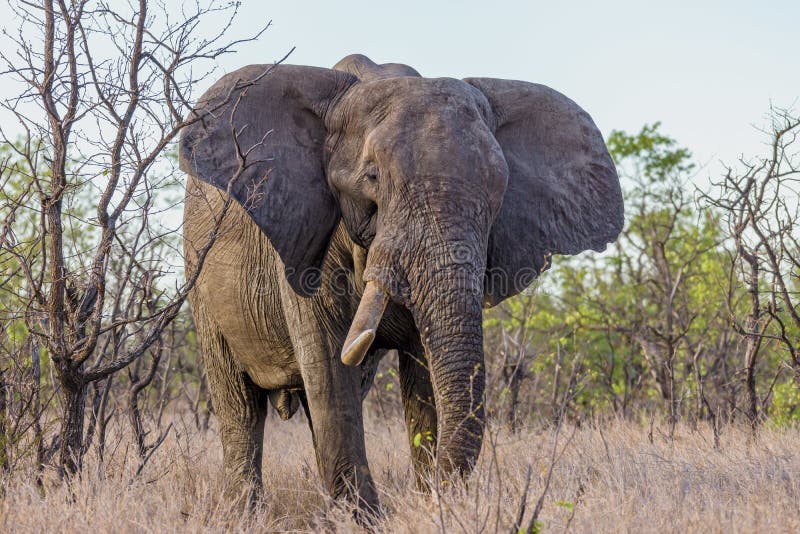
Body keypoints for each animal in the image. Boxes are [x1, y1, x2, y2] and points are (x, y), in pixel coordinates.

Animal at [179, 53, 623, 518]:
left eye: (499, 191)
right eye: (372, 177)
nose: (445, 495)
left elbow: (421, 379)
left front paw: (428, 504)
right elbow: (329, 374)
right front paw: (364, 520)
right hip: (199, 272)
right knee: (240, 405)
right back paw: (243, 512)